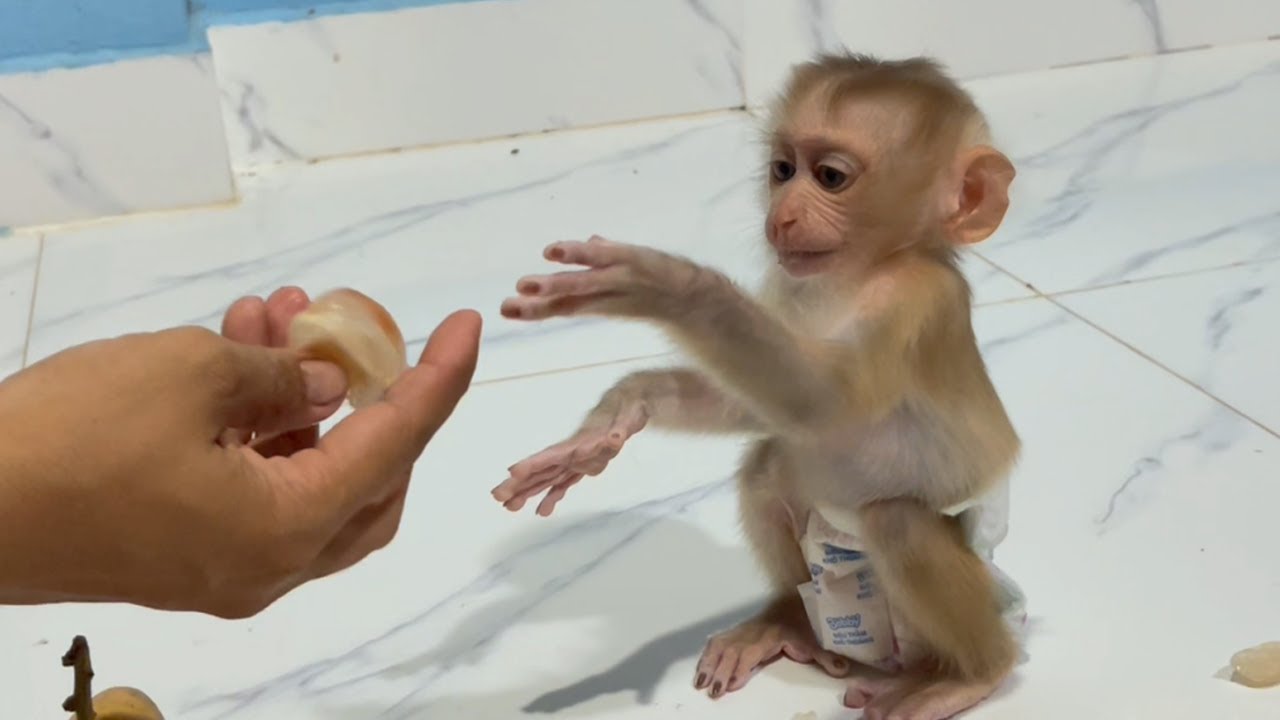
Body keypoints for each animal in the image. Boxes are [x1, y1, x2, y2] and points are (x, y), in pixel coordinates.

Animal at [491, 52, 1026, 720]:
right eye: (782, 170)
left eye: (830, 177)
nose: (782, 214)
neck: (855, 275)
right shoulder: (788, 283)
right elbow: (760, 408)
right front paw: (620, 411)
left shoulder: (913, 303)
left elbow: (820, 401)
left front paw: (666, 285)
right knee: (769, 469)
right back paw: (787, 621)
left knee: (897, 521)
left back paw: (972, 675)